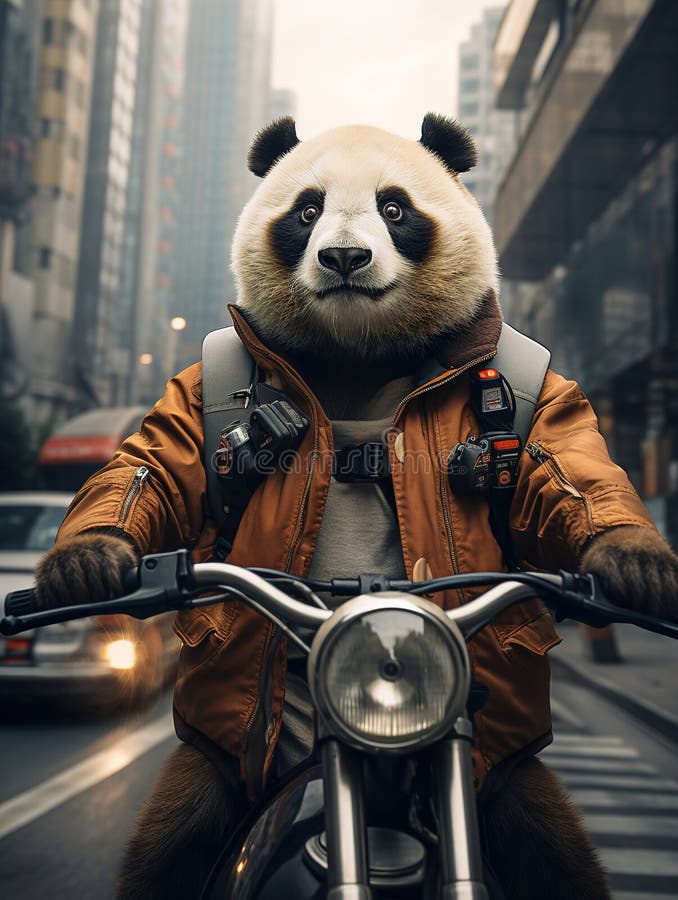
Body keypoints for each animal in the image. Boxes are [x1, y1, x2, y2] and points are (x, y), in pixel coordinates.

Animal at [36, 114, 678, 900]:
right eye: (307, 209)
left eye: (394, 208)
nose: (344, 256)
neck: (359, 354)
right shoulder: (201, 388)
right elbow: (157, 460)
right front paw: (89, 558)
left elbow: (567, 459)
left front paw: (632, 559)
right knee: (181, 823)